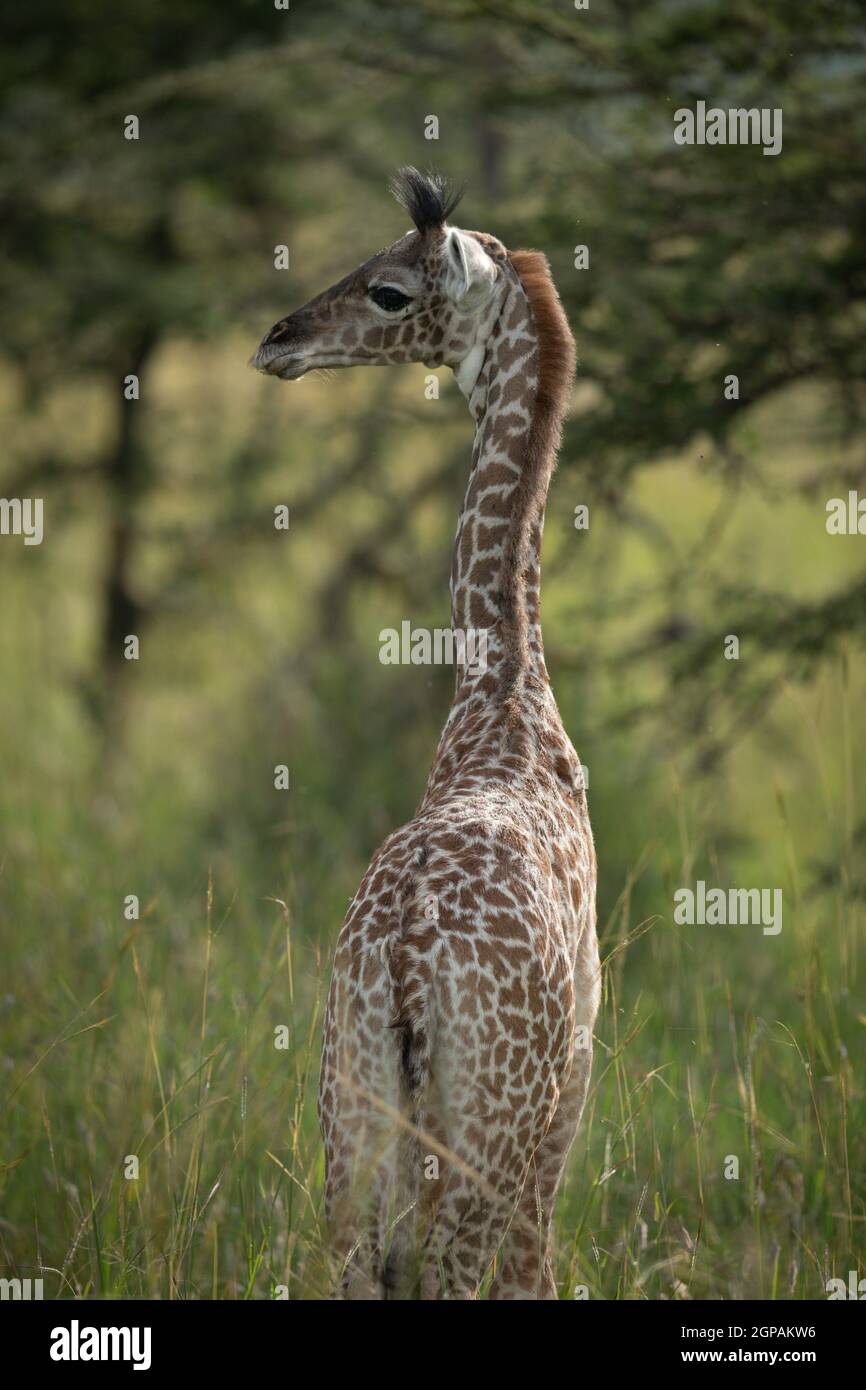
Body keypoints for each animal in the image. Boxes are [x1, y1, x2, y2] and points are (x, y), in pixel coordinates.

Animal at [253, 169, 600, 1299]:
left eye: (389, 289)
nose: (278, 338)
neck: (505, 701)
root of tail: (405, 951)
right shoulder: (577, 1074)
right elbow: (537, 1270)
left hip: (349, 1104)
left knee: (359, 1266)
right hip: (491, 1118)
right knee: (460, 1268)